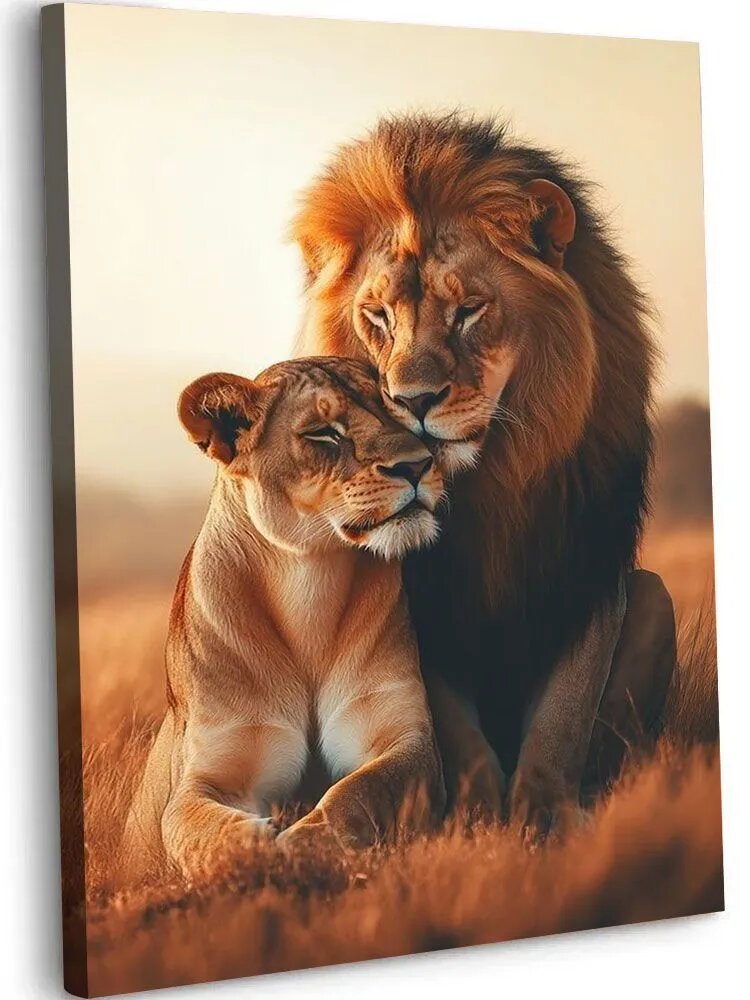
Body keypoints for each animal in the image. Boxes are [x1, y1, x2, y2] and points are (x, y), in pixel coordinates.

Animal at [121, 357, 446, 879]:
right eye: (323, 434)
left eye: (396, 409)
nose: (418, 465)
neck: (309, 582)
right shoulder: (208, 772)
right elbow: (197, 828)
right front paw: (259, 848)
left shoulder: (405, 737)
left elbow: (359, 792)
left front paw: (307, 844)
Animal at [290, 112, 677, 839]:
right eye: (378, 317)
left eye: (469, 310)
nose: (411, 400)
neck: (492, 476)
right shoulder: (419, 601)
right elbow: (454, 732)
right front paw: (474, 824)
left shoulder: (584, 569)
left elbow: (563, 716)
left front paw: (544, 818)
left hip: (655, 595)